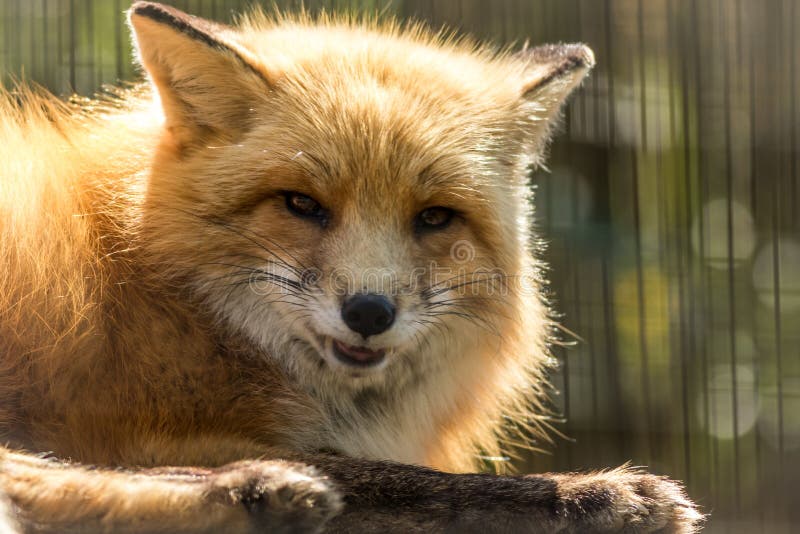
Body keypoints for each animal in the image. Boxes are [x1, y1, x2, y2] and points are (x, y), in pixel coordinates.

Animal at [0, 2, 702, 532]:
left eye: (434, 217)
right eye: (302, 204)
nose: (368, 312)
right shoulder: (139, 426)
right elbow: (412, 483)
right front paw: (587, 496)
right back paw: (256, 493)